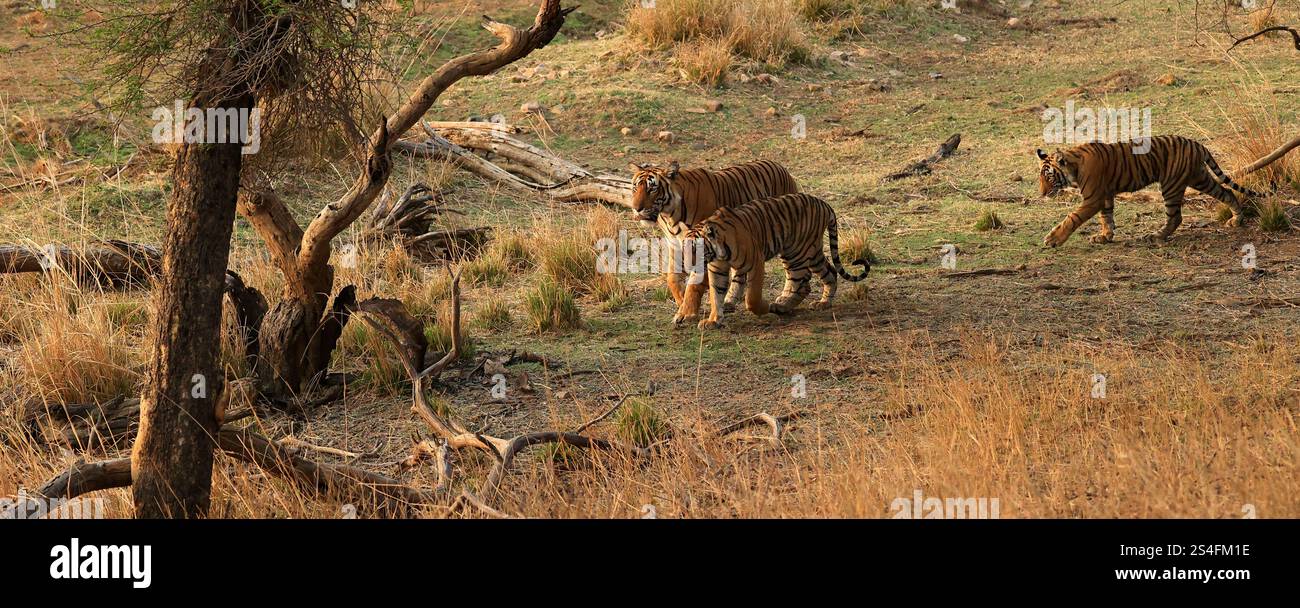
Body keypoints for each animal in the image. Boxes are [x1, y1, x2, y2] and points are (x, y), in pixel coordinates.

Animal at [627, 159, 799, 314]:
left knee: (791, 270)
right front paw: (682, 302)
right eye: (635, 188)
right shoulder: (676, 245)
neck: (670, 216)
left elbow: (696, 282)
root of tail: (781, 167)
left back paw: (784, 300)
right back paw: (729, 302)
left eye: (652, 189)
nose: (636, 208)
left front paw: (688, 310)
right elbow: (672, 278)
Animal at [674, 193, 870, 330]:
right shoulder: (717, 269)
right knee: (823, 274)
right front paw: (713, 320)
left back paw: (787, 306)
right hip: (807, 253)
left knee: (807, 281)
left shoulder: (756, 262)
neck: (718, 252)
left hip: (797, 252)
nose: (688, 266)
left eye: (695, 250)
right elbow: (716, 295)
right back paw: (813, 303)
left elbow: (752, 298)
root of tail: (823, 203)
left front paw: (764, 308)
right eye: (683, 249)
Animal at [1037, 135, 1261, 247]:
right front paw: (1105, 237)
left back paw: (1156, 236)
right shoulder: (1106, 195)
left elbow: (1072, 218)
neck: (1074, 166)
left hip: (1171, 184)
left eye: (1048, 177)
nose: (1042, 194)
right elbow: (1106, 217)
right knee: (1226, 192)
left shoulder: (1094, 198)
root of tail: (1197, 144)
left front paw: (1053, 239)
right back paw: (1237, 219)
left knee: (1175, 217)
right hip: (1199, 178)